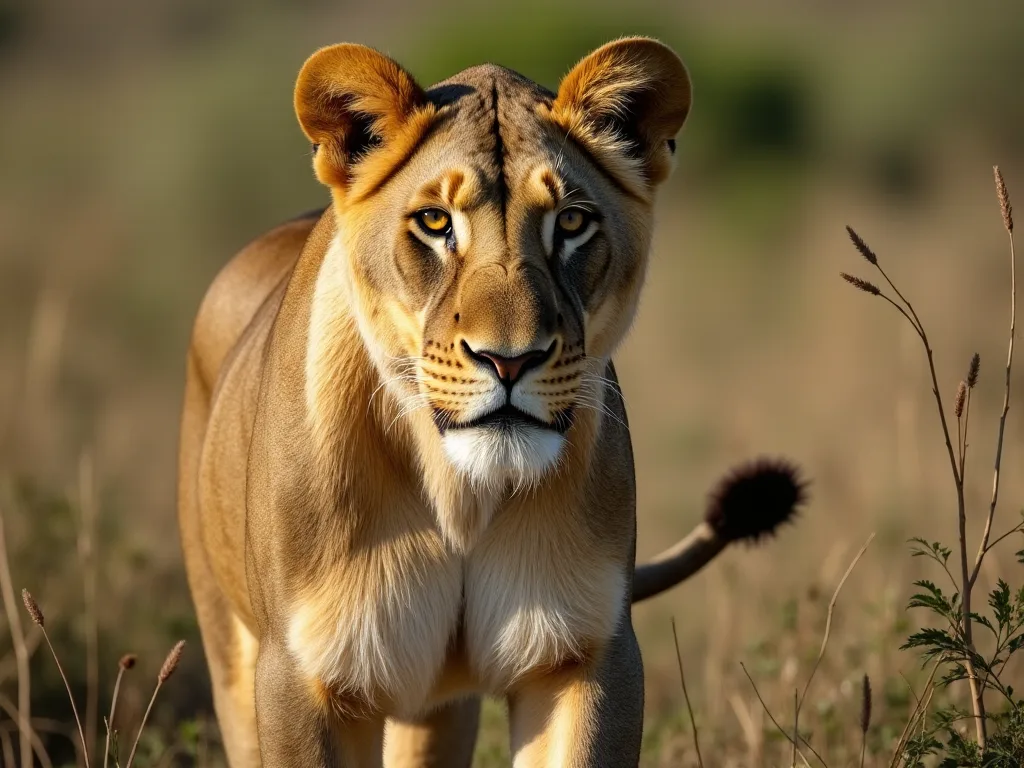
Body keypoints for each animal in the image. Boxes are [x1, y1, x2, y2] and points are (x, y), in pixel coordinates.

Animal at [176, 37, 801, 767]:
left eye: (572, 222)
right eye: (435, 222)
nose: (510, 359)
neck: (461, 497)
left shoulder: (585, 652)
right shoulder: (303, 674)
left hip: (437, 706)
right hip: (231, 651)